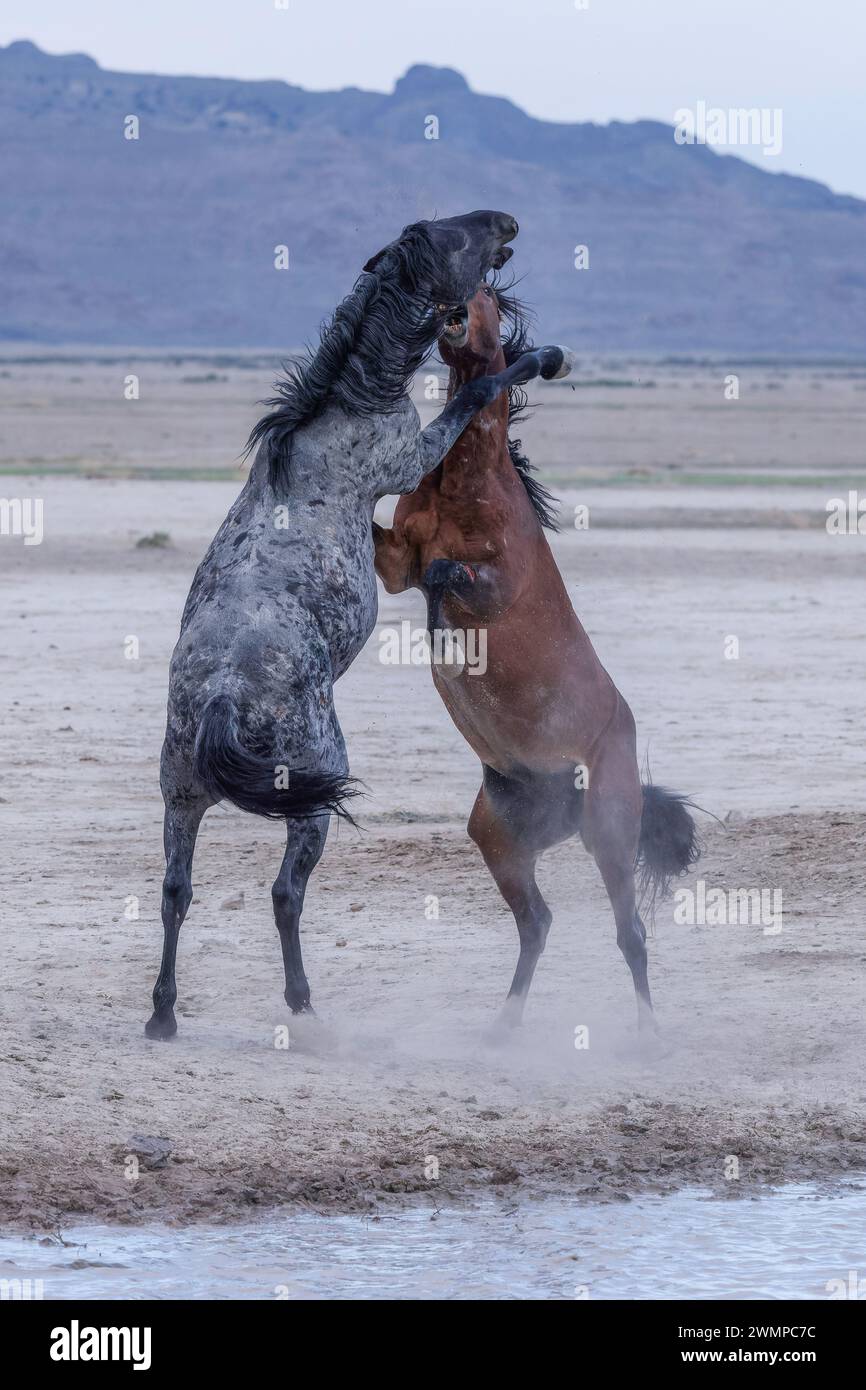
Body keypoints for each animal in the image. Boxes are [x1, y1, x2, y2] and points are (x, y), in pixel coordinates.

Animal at [146, 211, 576, 1040]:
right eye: (453, 237)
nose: (505, 222)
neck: (344, 404)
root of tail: (220, 700)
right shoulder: (413, 454)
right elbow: (478, 391)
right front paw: (539, 359)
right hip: (310, 795)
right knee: (285, 892)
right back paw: (304, 1007)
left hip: (180, 799)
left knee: (174, 894)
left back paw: (162, 1017)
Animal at [373, 283, 699, 1032]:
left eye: (486, 296)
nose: (449, 314)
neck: (470, 485)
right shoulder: (399, 562)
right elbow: (400, 556)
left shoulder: (489, 587)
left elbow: (447, 579)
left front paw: (441, 637)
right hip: (499, 838)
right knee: (538, 923)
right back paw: (503, 1030)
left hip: (608, 835)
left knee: (630, 933)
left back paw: (647, 1034)